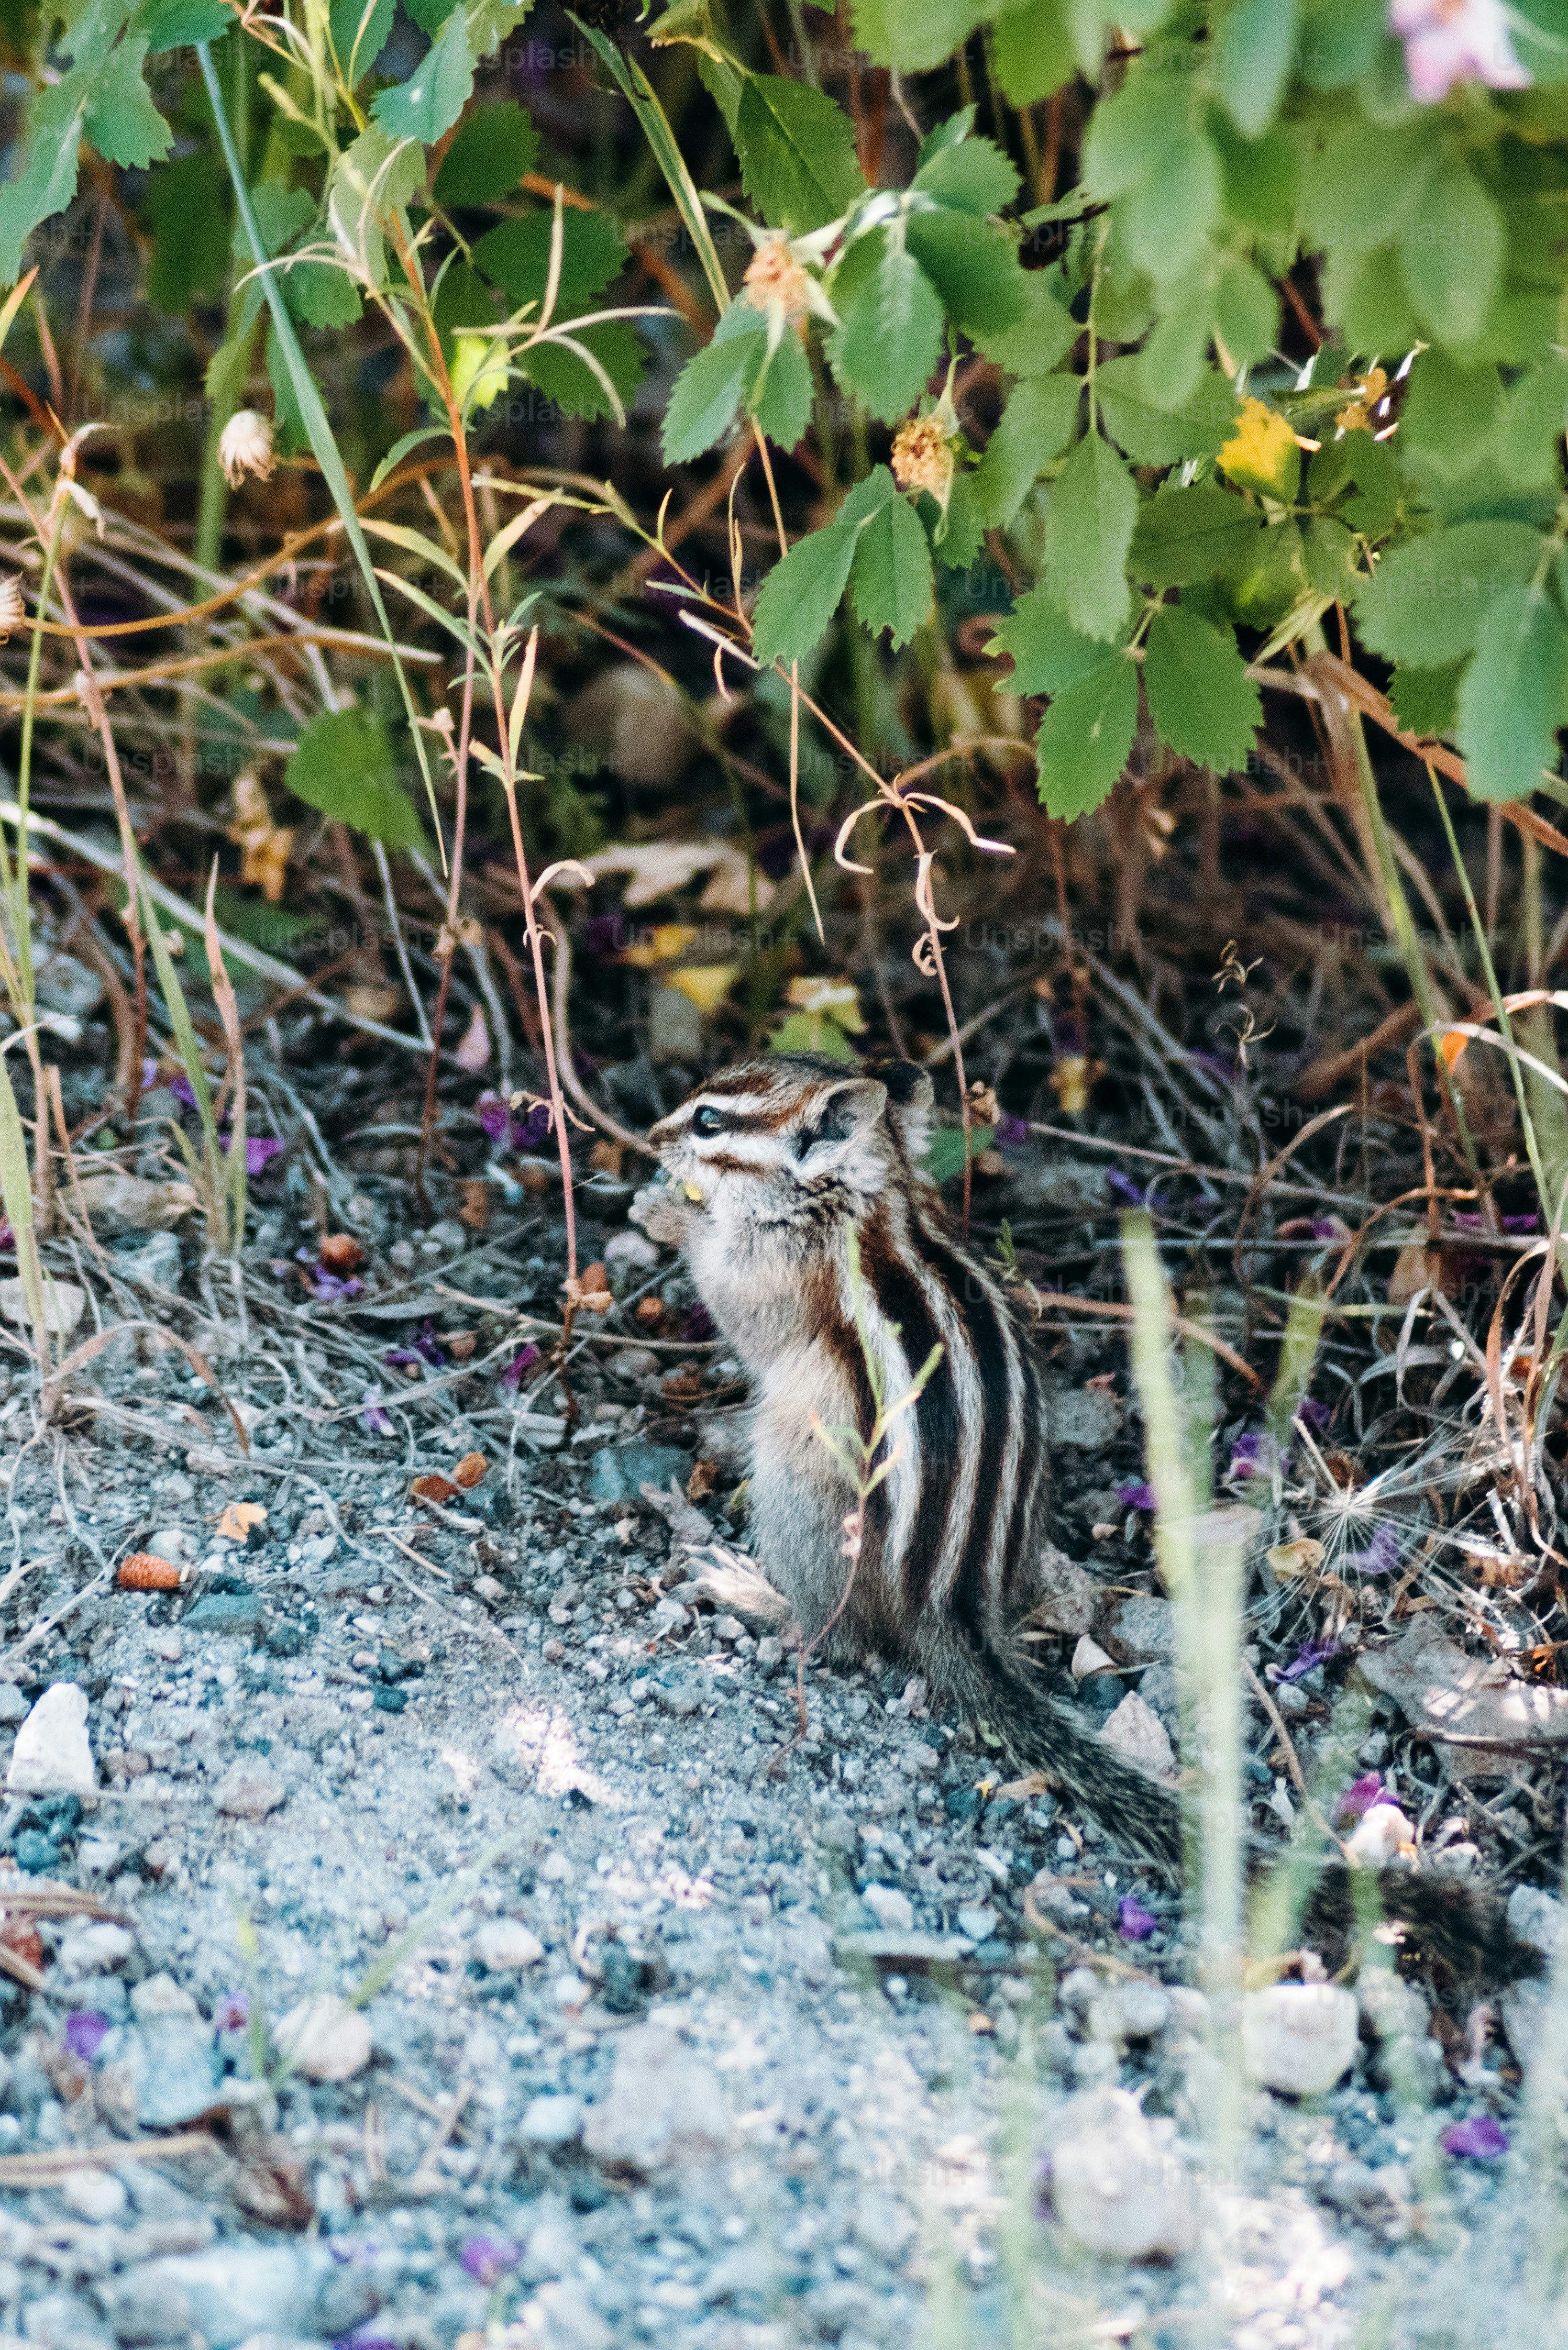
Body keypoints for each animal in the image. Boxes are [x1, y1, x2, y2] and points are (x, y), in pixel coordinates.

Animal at [631, 1050, 1530, 1977]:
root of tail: (950, 1605)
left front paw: (665, 1214)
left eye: (707, 1121)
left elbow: (732, 1300)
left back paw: (744, 1587)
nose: (650, 1136)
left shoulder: (772, 1271)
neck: (870, 1196)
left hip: (796, 1488)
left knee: (832, 1634)